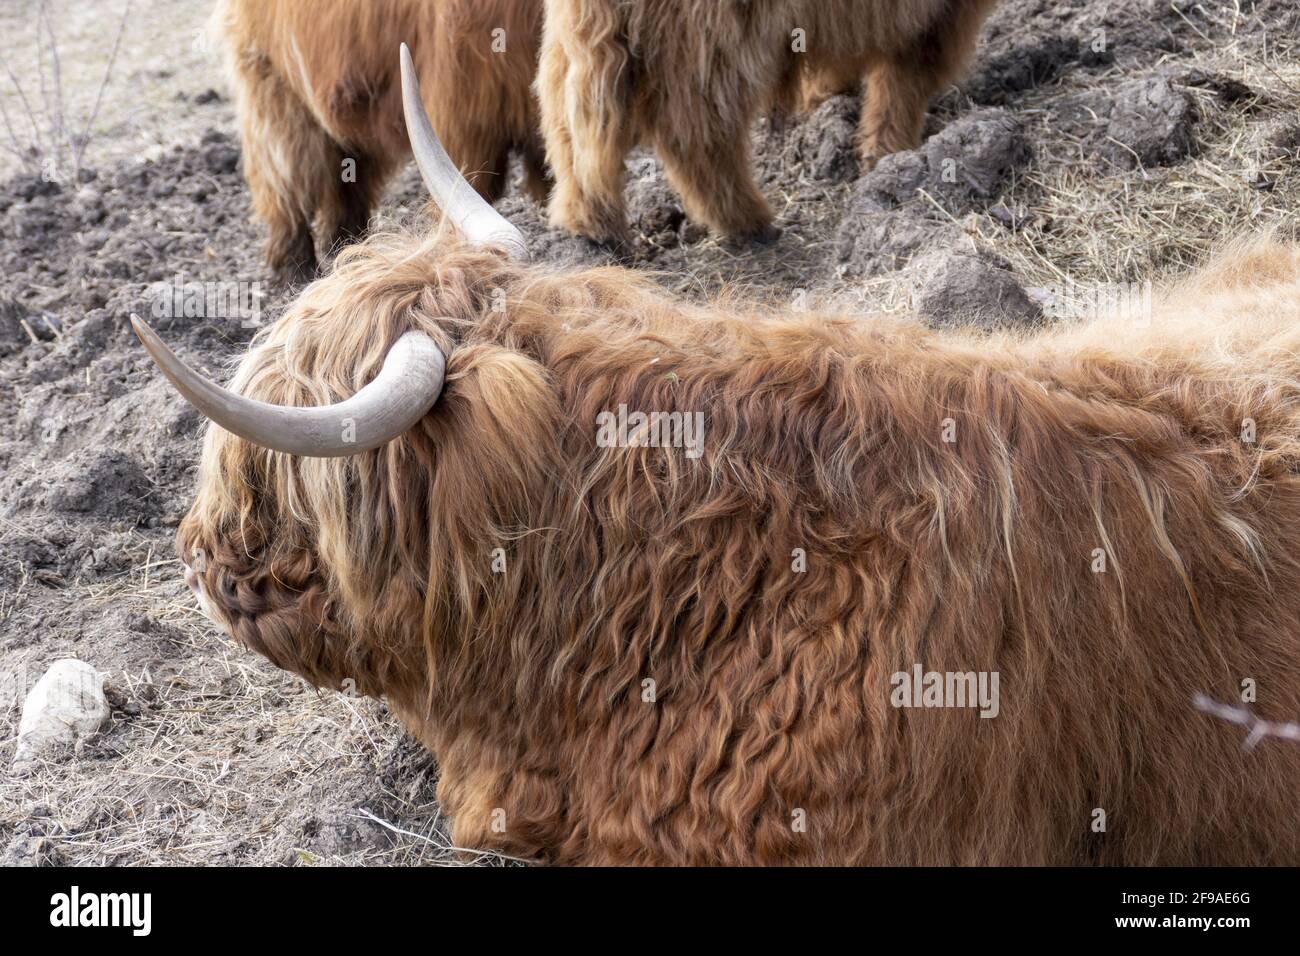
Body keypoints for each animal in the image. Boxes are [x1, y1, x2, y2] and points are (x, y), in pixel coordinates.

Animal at [214, 0, 546, 285]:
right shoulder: (461, 106)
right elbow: (469, 183)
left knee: (348, 181)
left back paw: (347, 250)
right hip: (274, 86)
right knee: (284, 179)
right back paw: (297, 271)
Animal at [537, 0, 1001, 246]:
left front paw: (826, 96)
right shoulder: (939, 16)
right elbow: (907, 75)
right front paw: (892, 151)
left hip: (573, 41)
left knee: (566, 123)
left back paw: (588, 222)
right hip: (710, 41)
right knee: (696, 132)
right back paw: (746, 219)